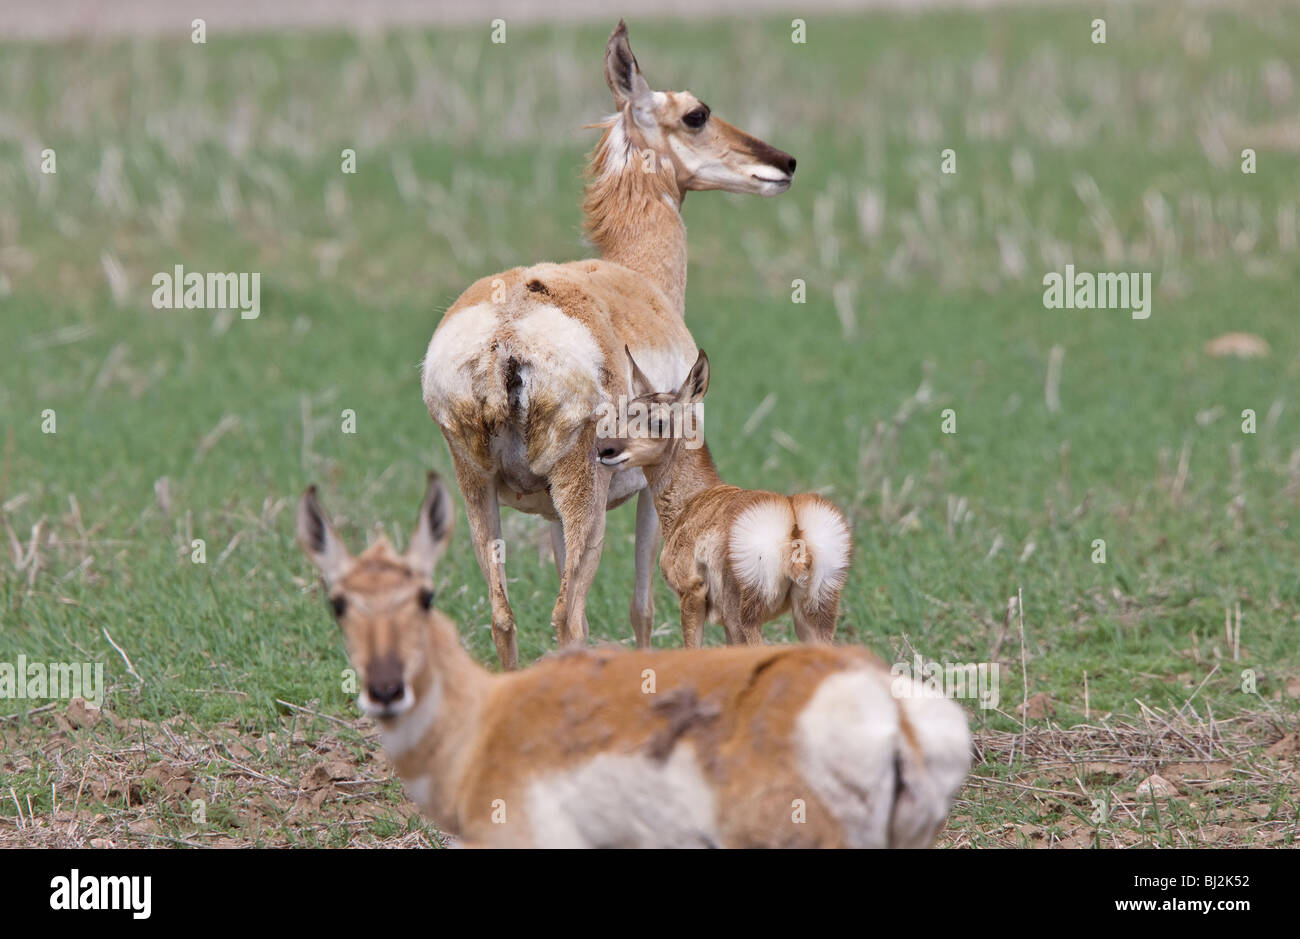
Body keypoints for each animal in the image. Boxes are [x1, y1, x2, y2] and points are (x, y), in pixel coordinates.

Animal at [296, 475, 972, 848]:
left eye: (423, 596)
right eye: (339, 602)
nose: (385, 687)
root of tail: (795, 523)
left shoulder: (698, 603)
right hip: (815, 619)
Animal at [420, 20, 797, 668]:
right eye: (696, 114)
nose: (785, 162)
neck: (637, 278)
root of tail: (507, 330)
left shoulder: (548, 513)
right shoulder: (652, 492)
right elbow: (642, 606)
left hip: (478, 495)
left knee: (504, 616)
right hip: (583, 500)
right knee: (569, 617)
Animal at [597, 348, 852, 647]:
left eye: (659, 421)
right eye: (622, 414)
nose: (605, 450)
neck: (696, 499)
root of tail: (793, 523)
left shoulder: (692, 597)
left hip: (745, 618)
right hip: (813, 619)